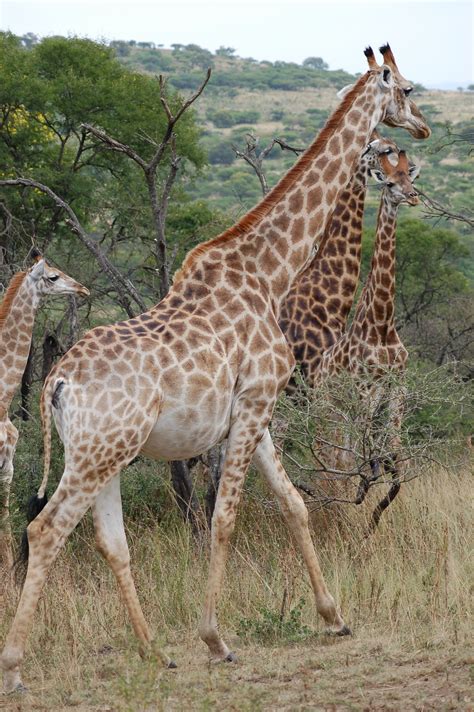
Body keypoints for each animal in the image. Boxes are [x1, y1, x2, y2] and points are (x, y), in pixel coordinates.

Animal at [314, 150, 420, 518]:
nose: (413, 197)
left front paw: (377, 511)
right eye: (389, 183)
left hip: (345, 411)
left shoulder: (397, 384)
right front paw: (361, 506)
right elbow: (367, 460)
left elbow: (394, 456)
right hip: (329, 406)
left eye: (410, 178)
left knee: (342, 456)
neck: (383, 325)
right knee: (332, 456)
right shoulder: (365, 387)